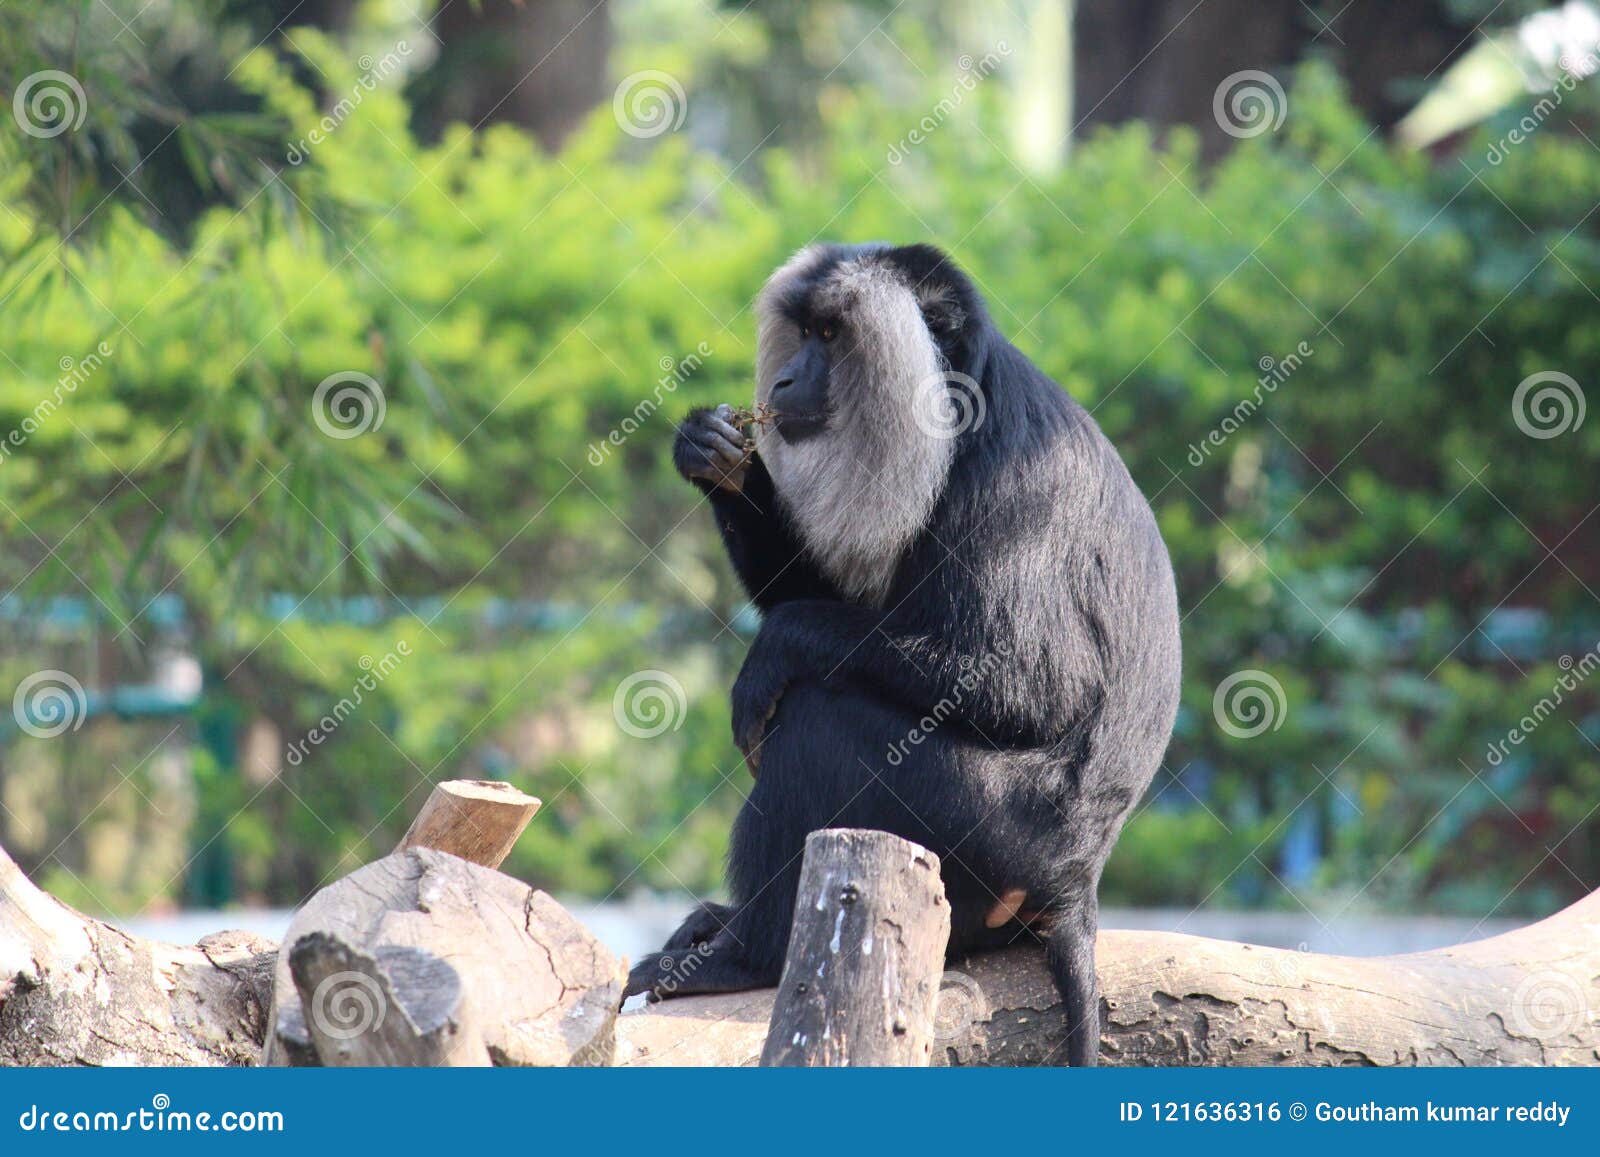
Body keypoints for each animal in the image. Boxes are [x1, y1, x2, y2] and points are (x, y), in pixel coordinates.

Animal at [624, 242, 1181, 1066]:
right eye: (802, 333)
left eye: (831, 334)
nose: (783, 383)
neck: (957, 419)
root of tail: (1076, 882)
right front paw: (716, 454)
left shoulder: (1013, 480)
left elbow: (1032, 686)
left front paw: (772, 654)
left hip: (986, 828)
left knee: (818, 721)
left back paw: (744, 955)